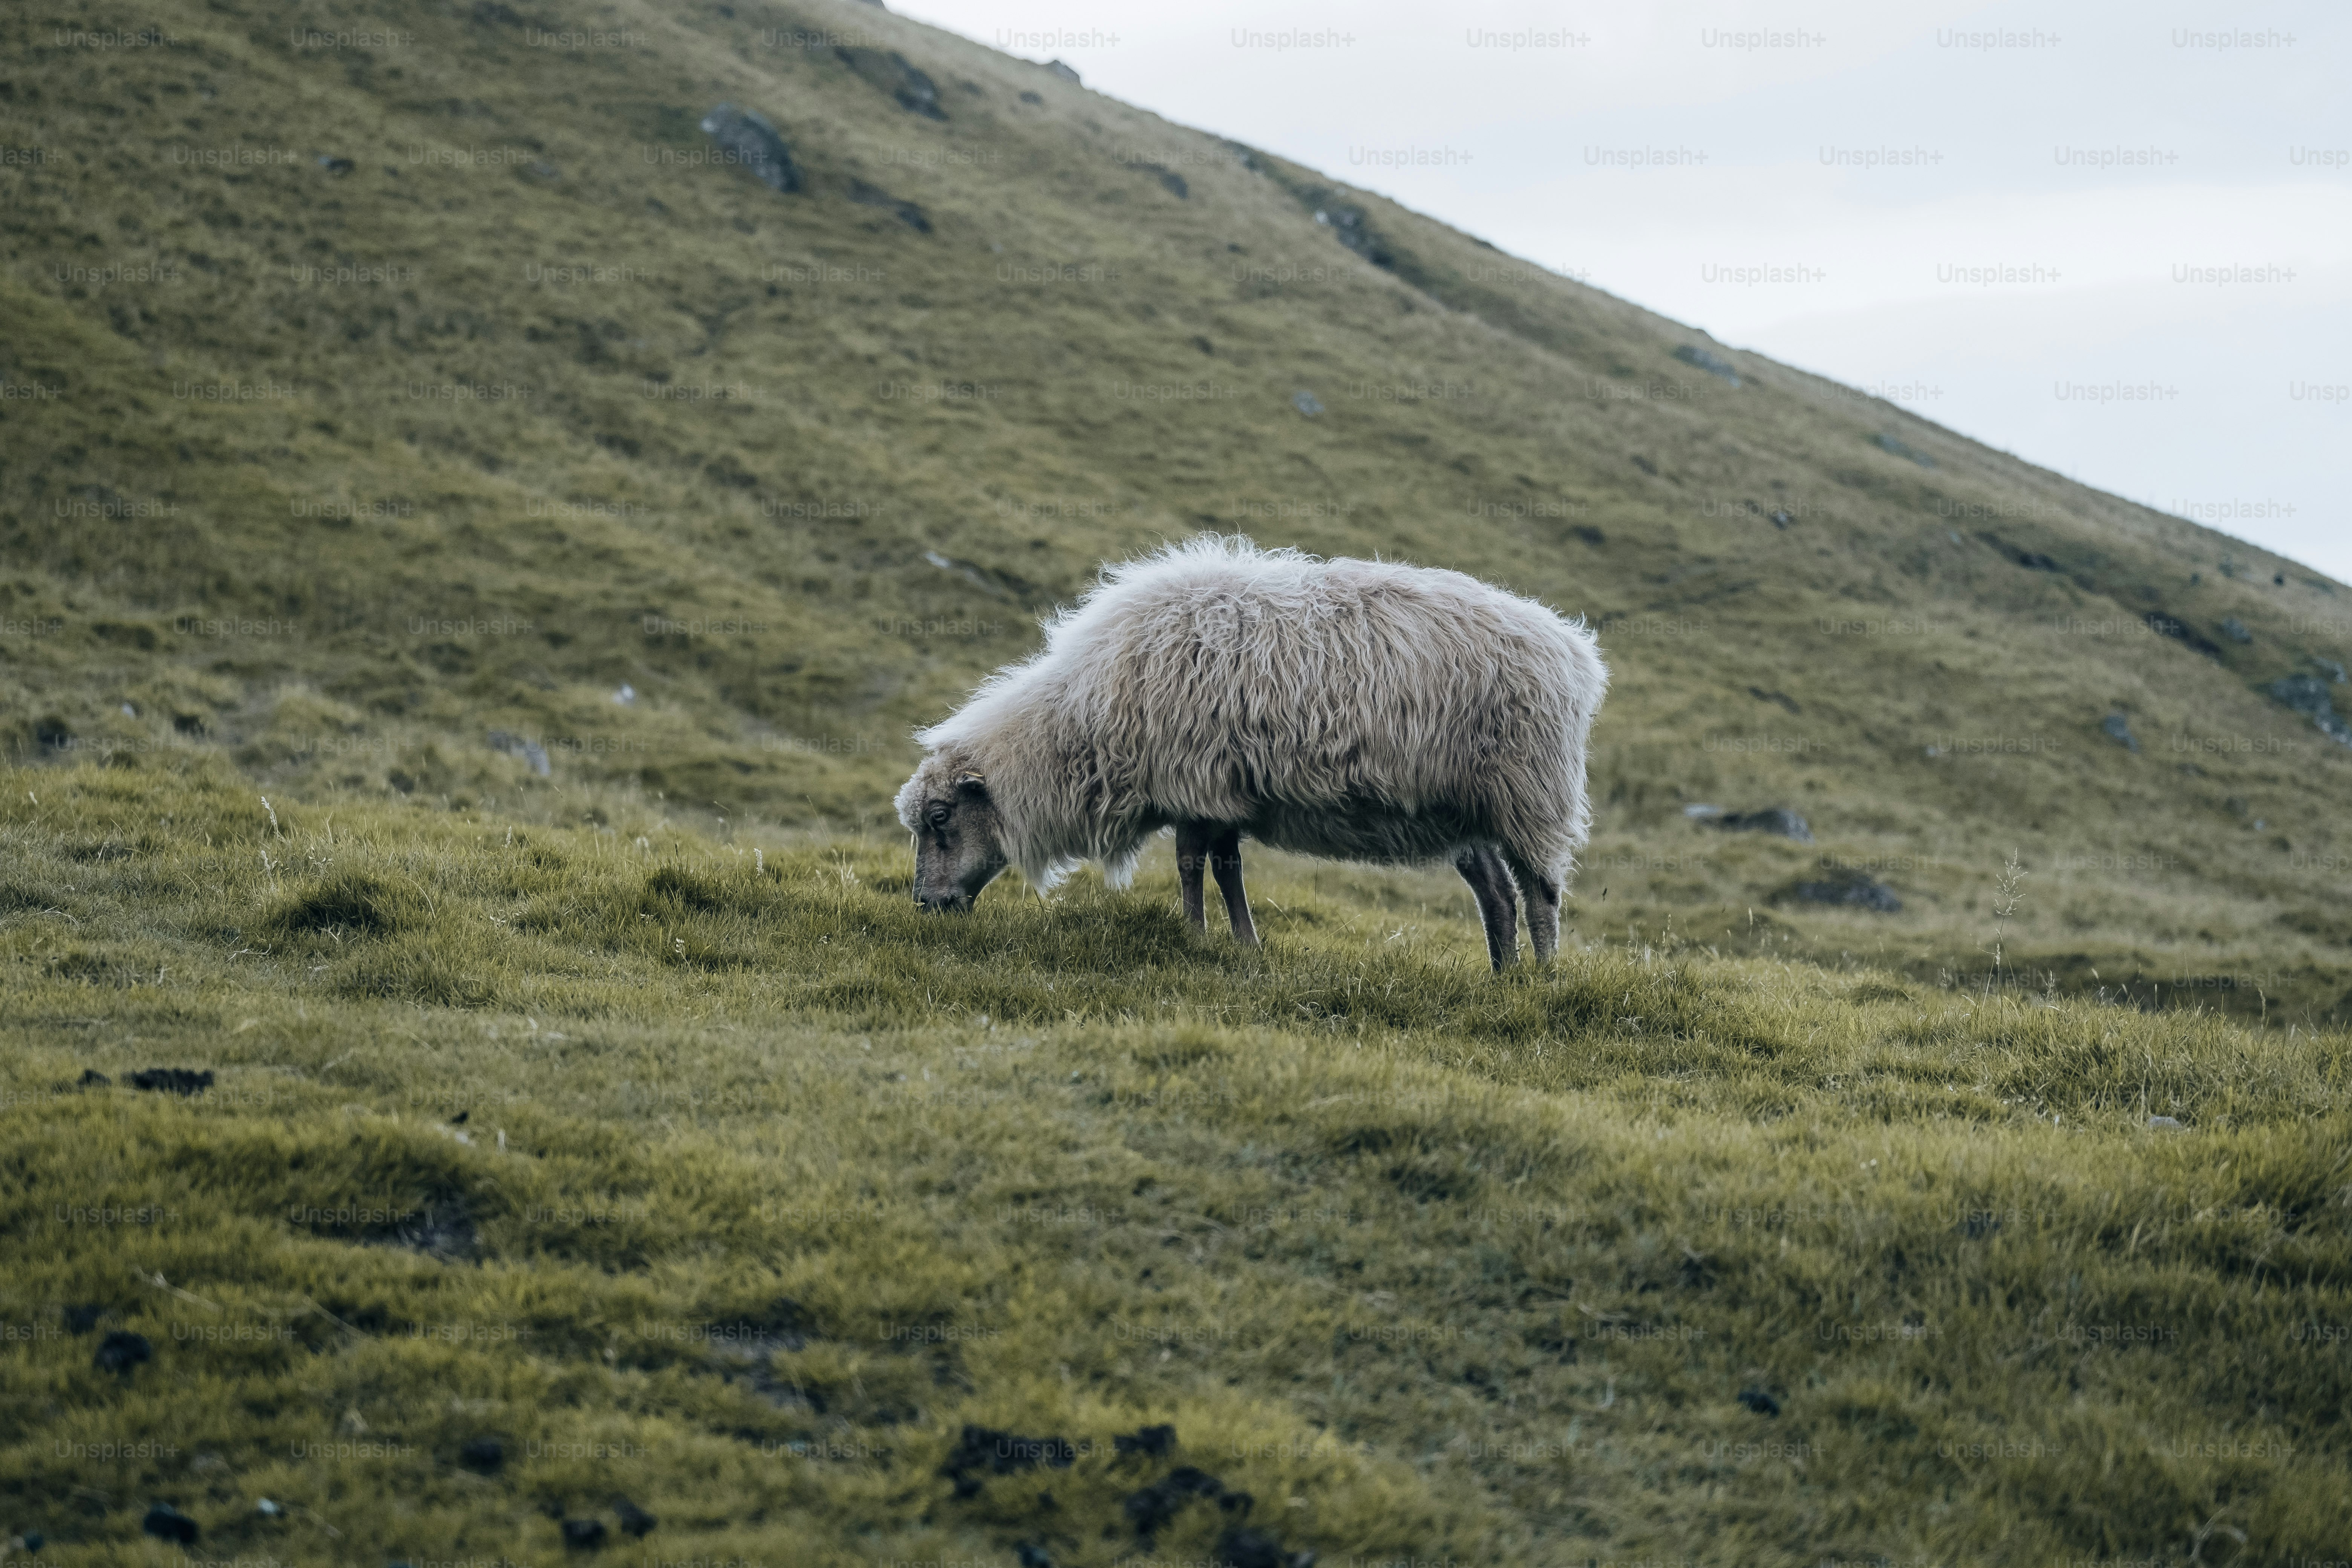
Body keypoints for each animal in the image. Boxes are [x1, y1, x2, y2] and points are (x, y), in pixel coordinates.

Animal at [893, 535, 1608, 969]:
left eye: (940, 819)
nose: (925, 906)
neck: (1079, 723)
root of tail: (1574, 651)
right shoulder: (1221, 788)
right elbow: (1226, 866)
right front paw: (1243, 945)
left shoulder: (1192, 777)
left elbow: (1191, 864)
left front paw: (1194, 937)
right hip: (1466, 808)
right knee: (1497, 893)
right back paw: (1502, 976)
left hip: (1530, 793)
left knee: (1541, 891)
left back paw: (1543, 978)